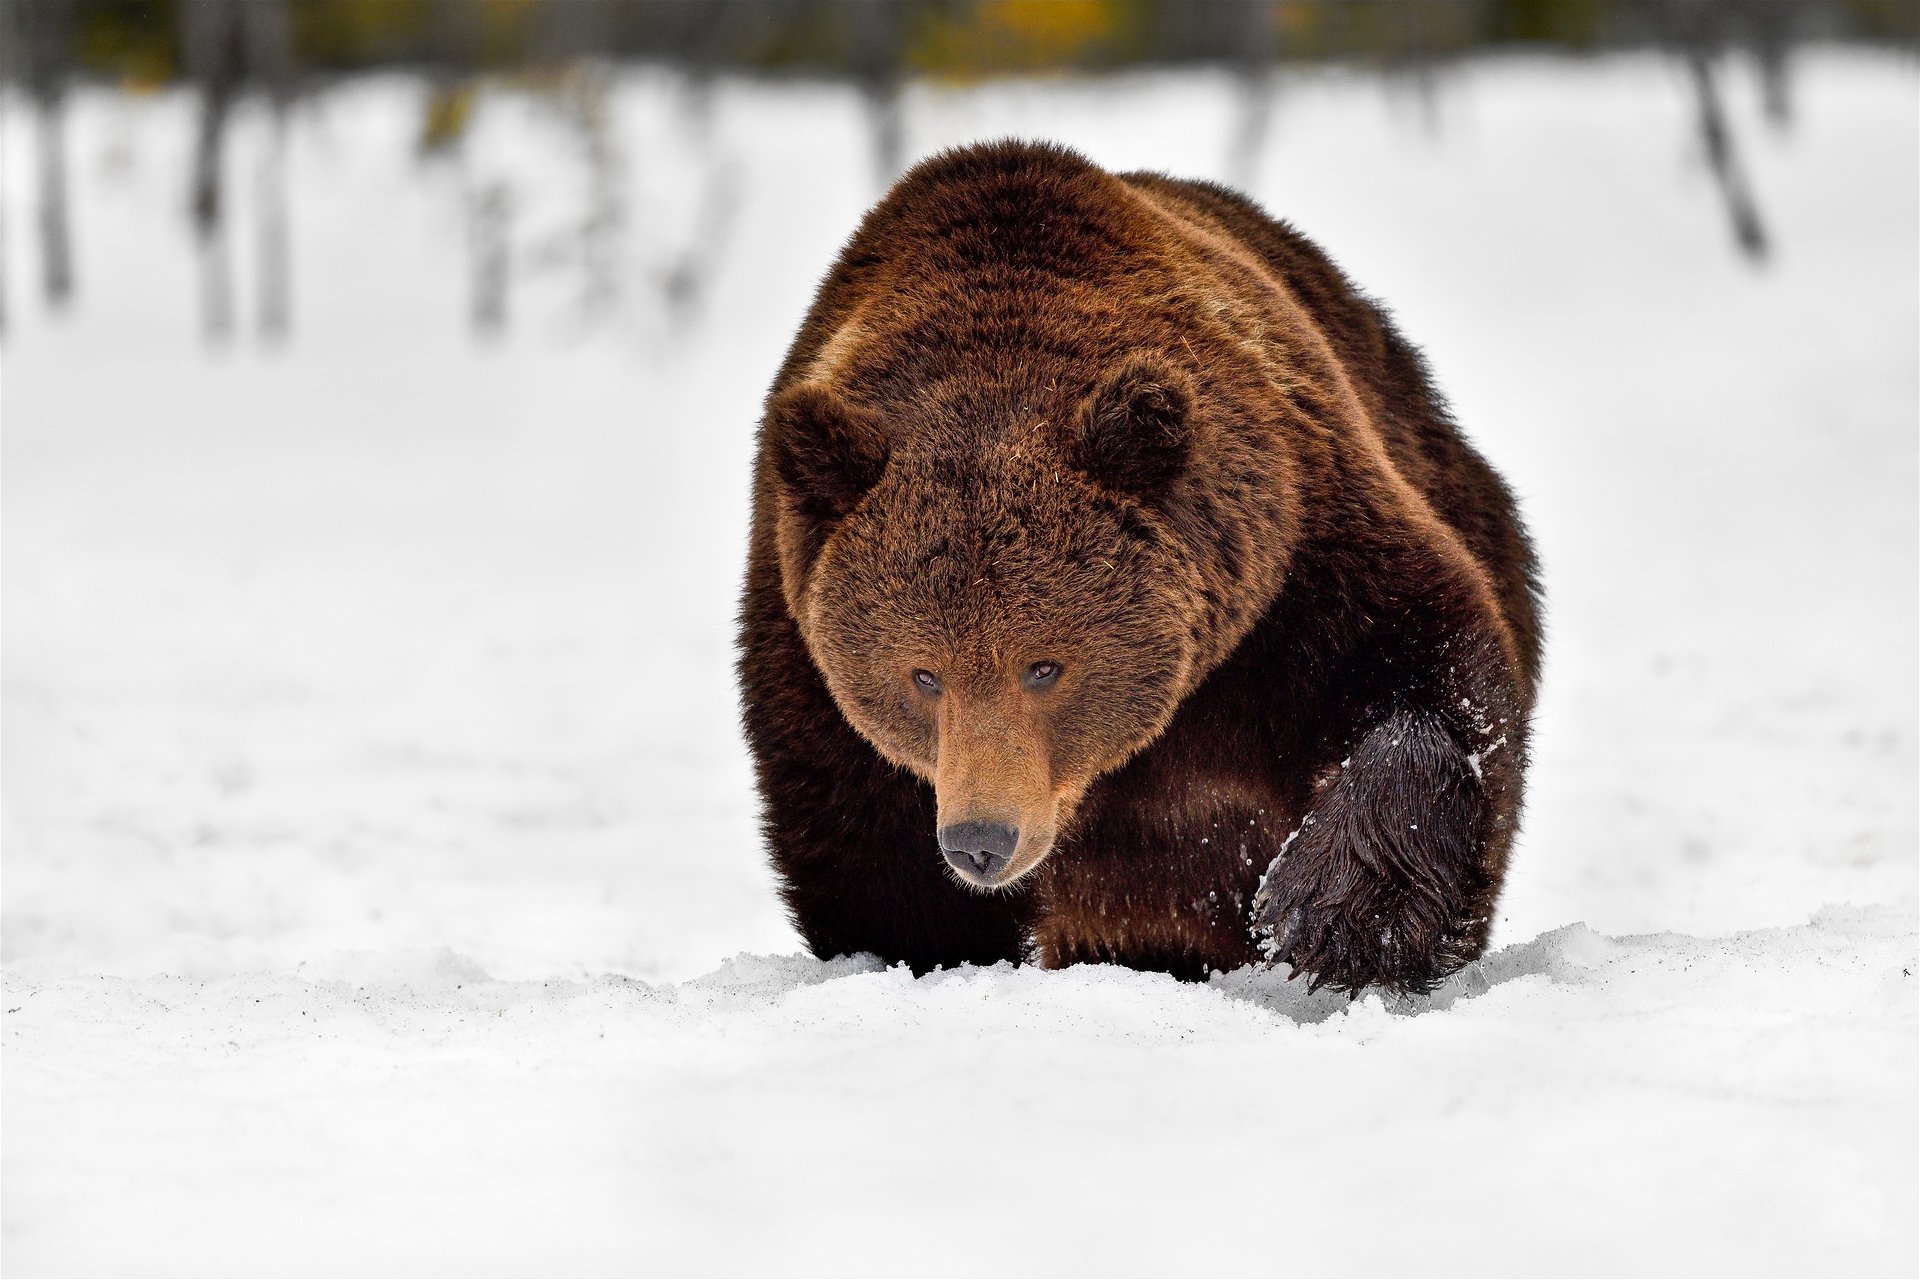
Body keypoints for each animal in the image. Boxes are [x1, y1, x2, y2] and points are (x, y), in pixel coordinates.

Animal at [736, 140, 1541, 995]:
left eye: (1045, 665)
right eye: (923, 675)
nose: (982, 839)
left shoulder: (1293, 564)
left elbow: (1433, 675)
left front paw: (1332, 913)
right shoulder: (803, 644)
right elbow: (864, 848)